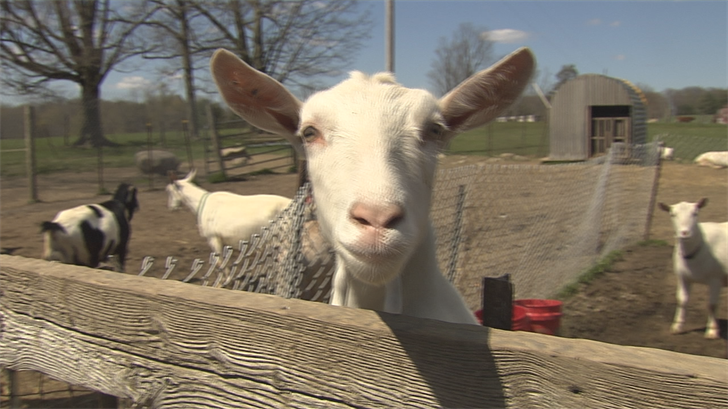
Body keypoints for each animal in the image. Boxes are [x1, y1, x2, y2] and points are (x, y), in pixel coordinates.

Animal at [658, 198, 728, 339]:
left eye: (695, 213)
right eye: (672, 214)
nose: (685, 233)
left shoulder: (716, 279)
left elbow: (712, 304)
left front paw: (712, 330)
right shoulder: (683, 277)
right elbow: (682, 300)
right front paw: (677, 326)